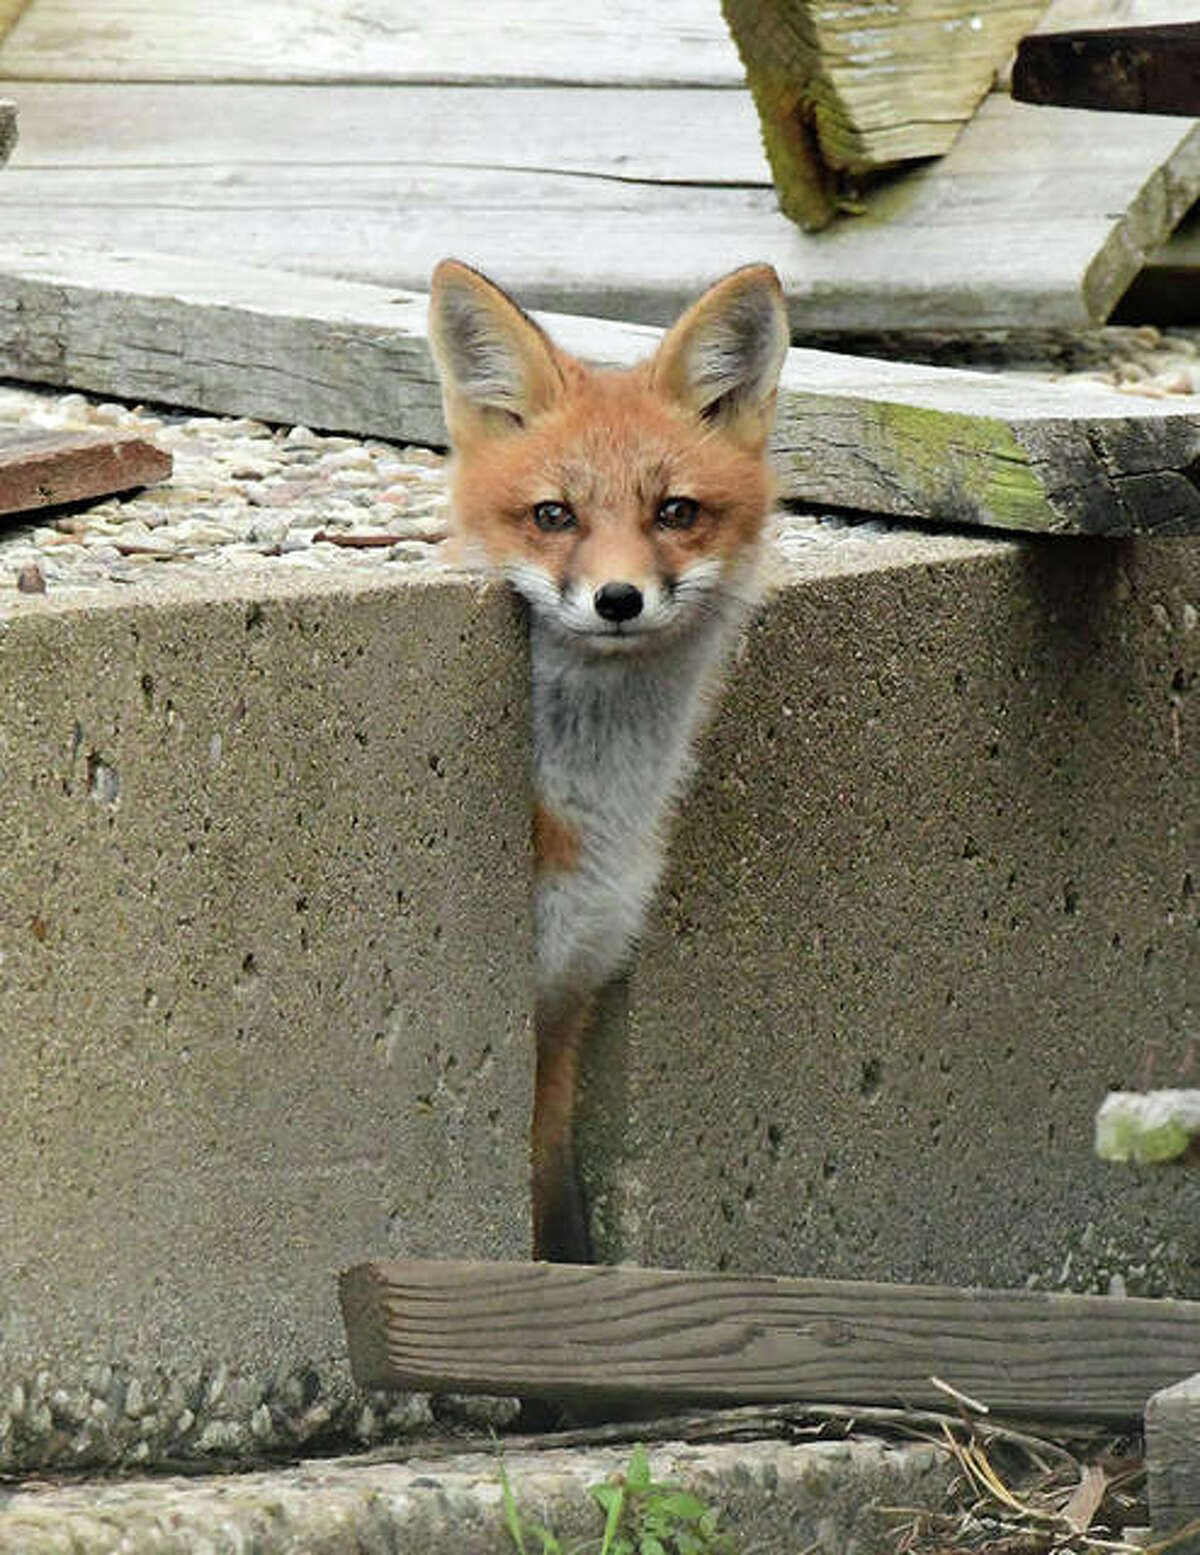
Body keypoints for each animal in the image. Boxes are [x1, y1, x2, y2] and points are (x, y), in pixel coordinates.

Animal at [428, 260, 789, 1264]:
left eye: (676, 512)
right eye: (555, 515)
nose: (619, 599)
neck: (595, 820)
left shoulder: (572, 992)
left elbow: (554, 1193)